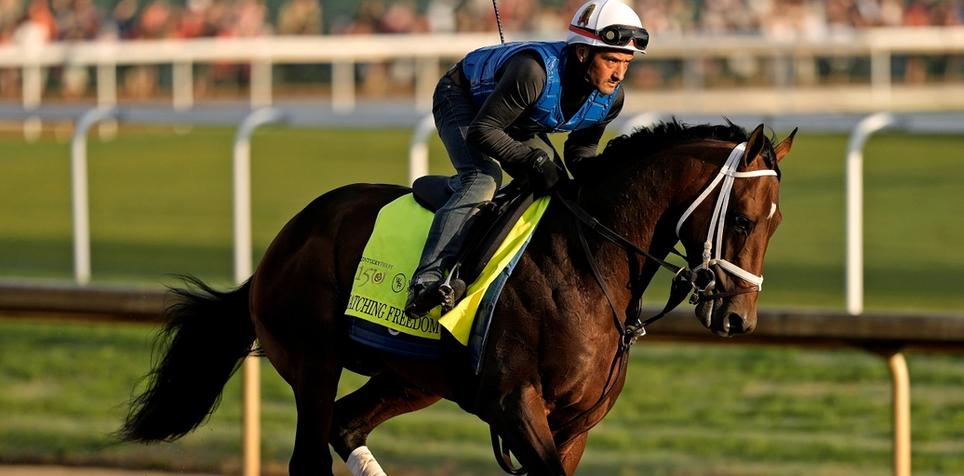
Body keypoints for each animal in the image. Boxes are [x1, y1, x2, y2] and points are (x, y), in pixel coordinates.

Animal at [118, 120, 796, 476]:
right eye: (741, 218)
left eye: (776, 223)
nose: (738, 318)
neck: (588, 259)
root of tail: (278, 248)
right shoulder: (516, 402)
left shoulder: (577, 422)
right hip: (313, 361)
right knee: (311, 453)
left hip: (412, 377)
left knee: (345, 425)